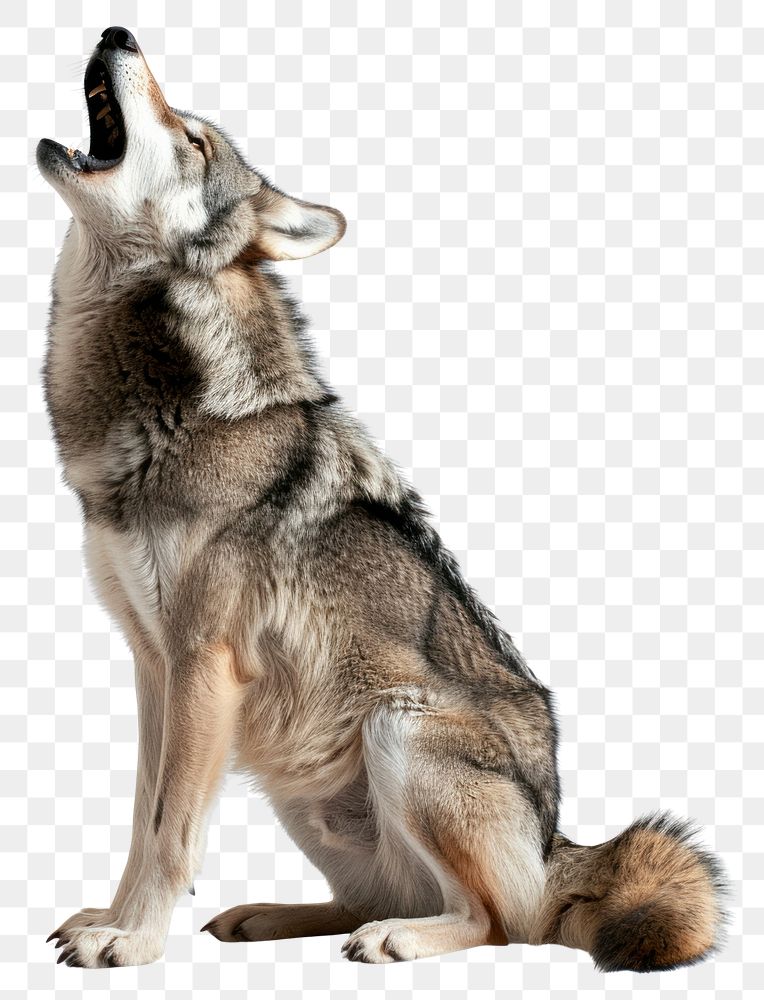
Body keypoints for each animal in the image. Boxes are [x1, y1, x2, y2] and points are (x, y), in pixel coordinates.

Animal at [37, 26, 727, 970]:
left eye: (196, 140)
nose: (118, 33)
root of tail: (557, 848)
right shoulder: (153, 663)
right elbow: (142, 820)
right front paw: (109, 919)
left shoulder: (202, 662)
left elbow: (171, 828)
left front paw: (134, 942)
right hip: (302, 783)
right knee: (375, 896)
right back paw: (265, 917)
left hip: (395, 731)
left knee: (494, 923)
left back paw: (394, 939)